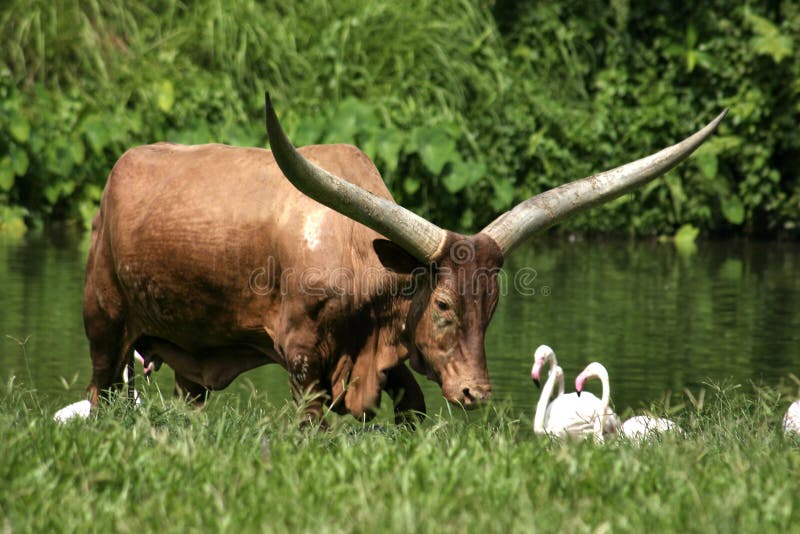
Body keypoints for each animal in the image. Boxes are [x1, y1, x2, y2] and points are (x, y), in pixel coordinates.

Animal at [82, 93, 725, 424]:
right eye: (441, 303)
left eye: (492, 307)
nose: (476, 394)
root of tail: (120, 168)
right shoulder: (301, 357)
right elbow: (311, 422)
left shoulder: (385, 359)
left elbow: (412, 406)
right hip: (104, 325)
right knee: (99, 391)